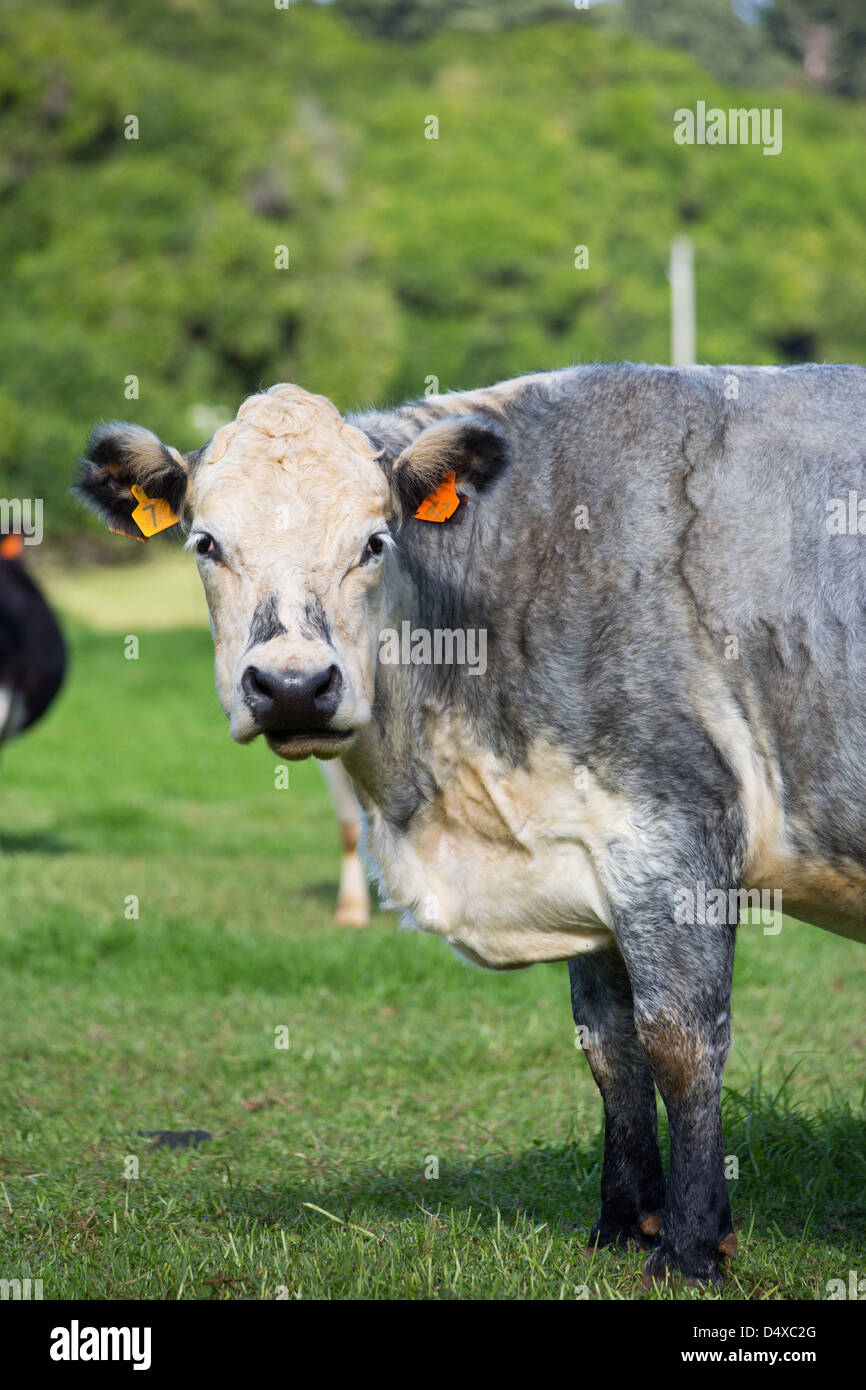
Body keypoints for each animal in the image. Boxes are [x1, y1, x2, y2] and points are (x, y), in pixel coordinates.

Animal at [75, 363, 866, 1285]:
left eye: (374, 542)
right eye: (207, 543)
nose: (294, 686)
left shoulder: (675, 840)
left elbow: (679, 1043)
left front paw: (692, 1248)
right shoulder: (587, 853)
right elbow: (611, 1052)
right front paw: (623, 1223)